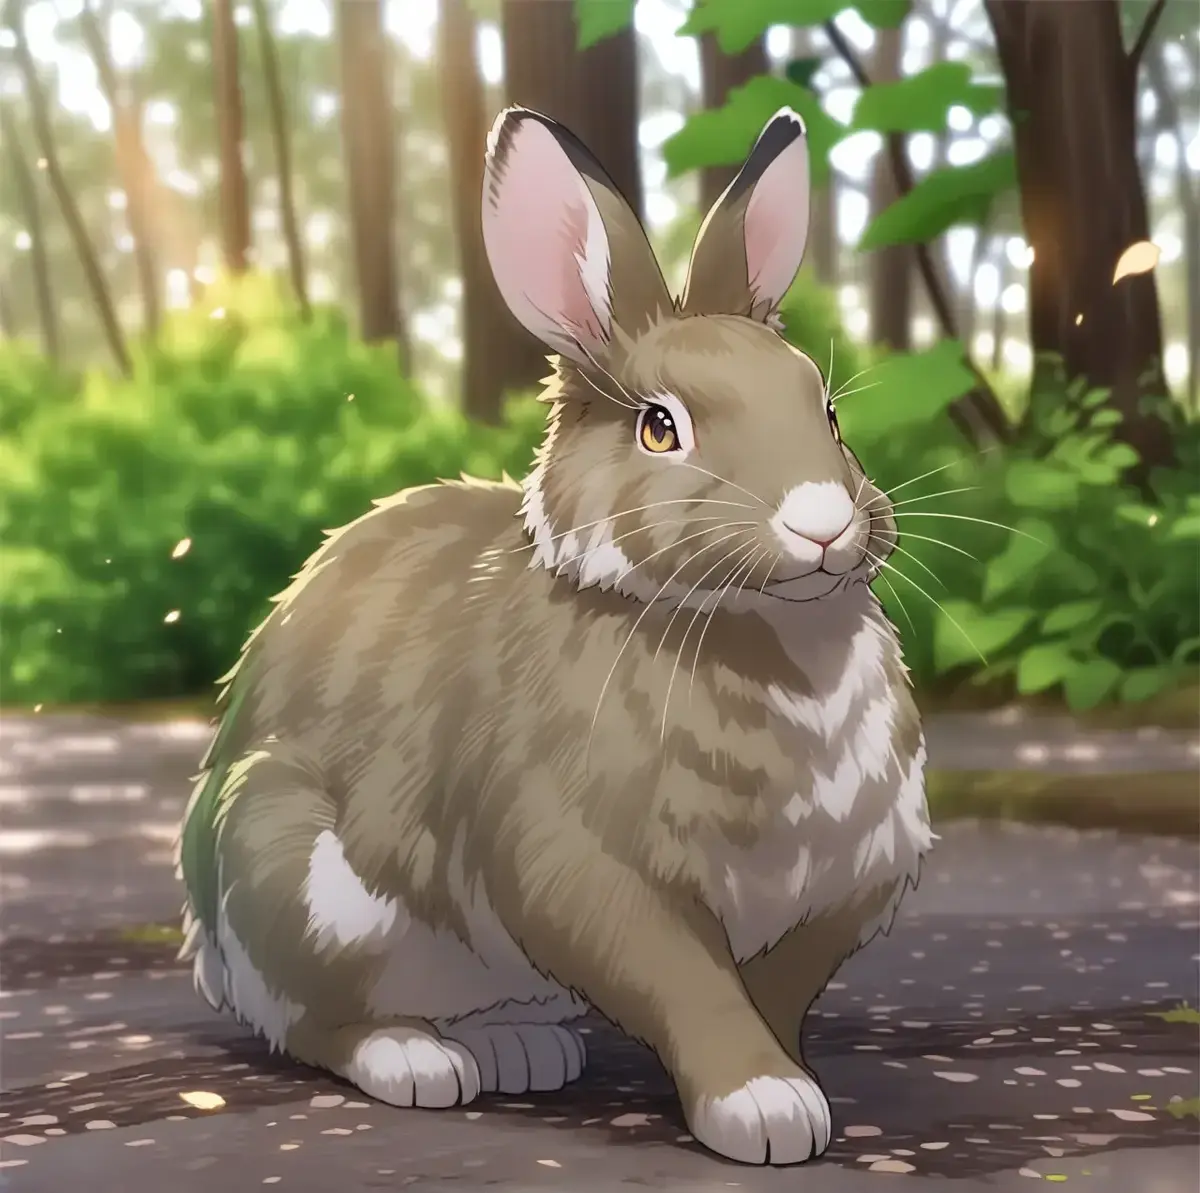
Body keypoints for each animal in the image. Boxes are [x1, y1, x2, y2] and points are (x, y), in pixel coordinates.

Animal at [175, 103, 931, 1167]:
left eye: (825, 410)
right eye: (660, 426)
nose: (822, 523)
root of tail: (207, 941)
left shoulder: (834, 896)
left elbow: (773, 997)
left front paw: (794, 1088)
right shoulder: (585, 868)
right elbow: (689, 984)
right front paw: (764, 1108)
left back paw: (521, 1049)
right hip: (297, 879)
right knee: (315, 1020)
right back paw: (421, 1061)